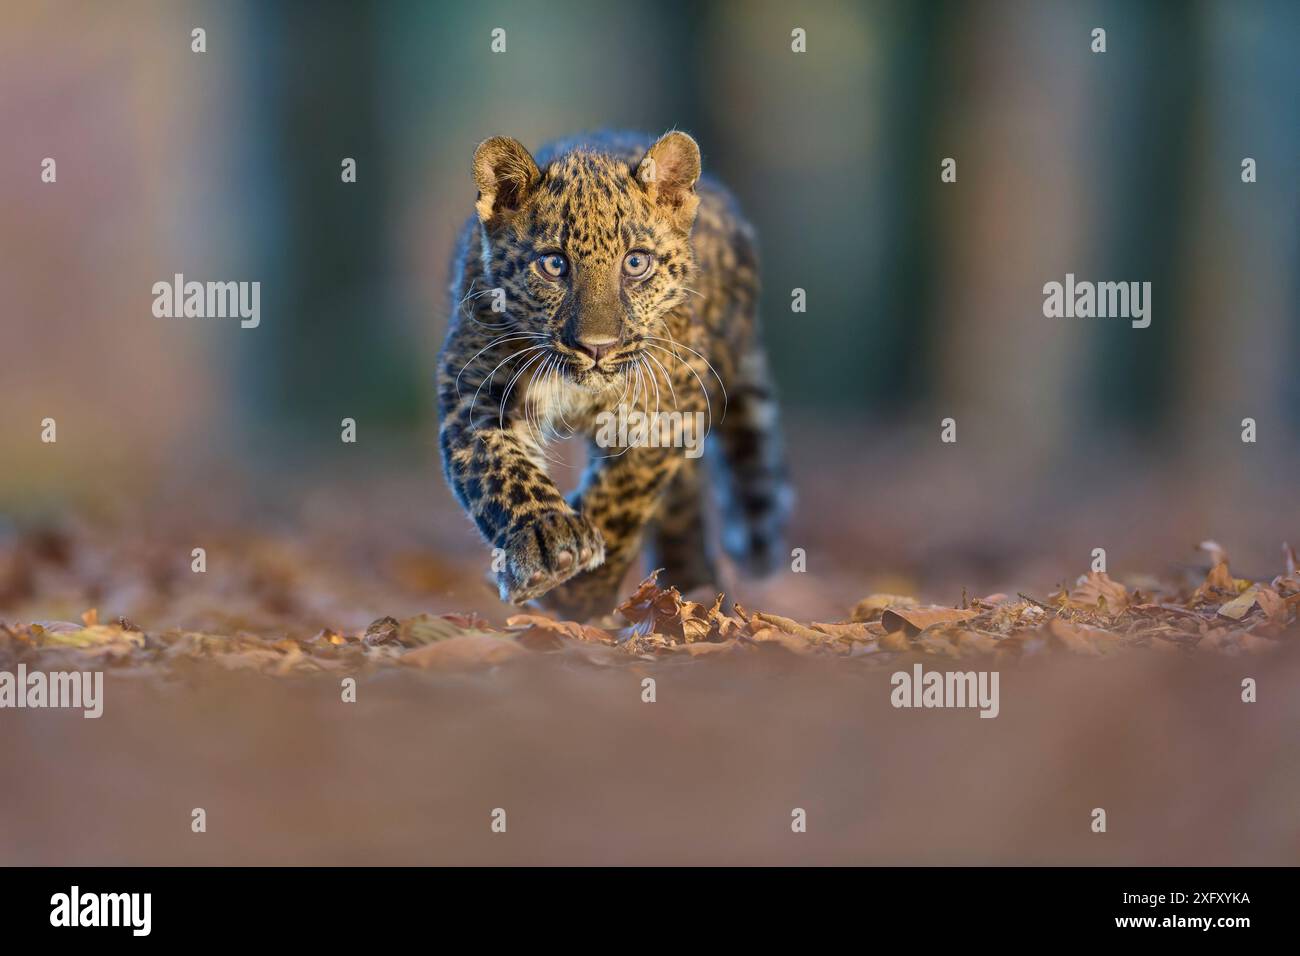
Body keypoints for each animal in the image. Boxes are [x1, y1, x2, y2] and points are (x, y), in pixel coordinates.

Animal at [437, 129, 791, 621]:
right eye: (554, 264)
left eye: (636, 263)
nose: (597, 347)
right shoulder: (475, 390)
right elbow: (497, 469)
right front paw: (547, 542)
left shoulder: (667, 406)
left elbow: (625, 492)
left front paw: (581, 589)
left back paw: (691, 585)